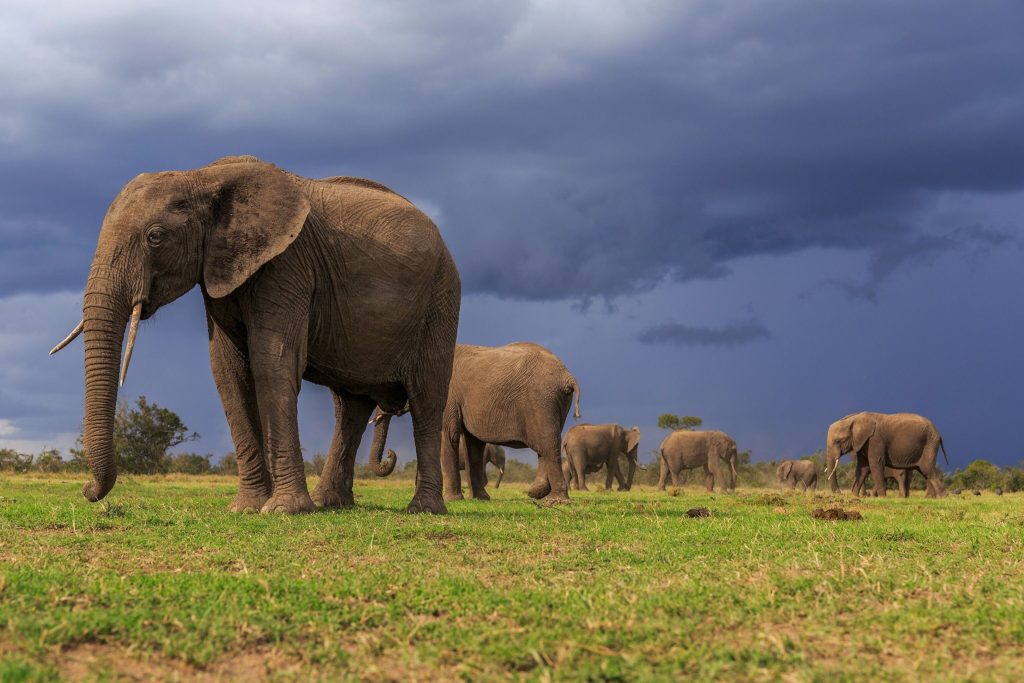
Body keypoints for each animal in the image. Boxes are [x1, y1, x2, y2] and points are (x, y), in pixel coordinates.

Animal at [50, 156, 460, 514]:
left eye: (155, 237)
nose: (87, 491)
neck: (202, 176)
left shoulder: (288, 264)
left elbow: (273, 361)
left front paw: (283, 510)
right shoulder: (222, 270)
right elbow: (228, 372)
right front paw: (246, 508)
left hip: (441, 301)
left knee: (426, 399)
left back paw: (423, 509)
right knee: (350, 408)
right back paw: (331, 503)